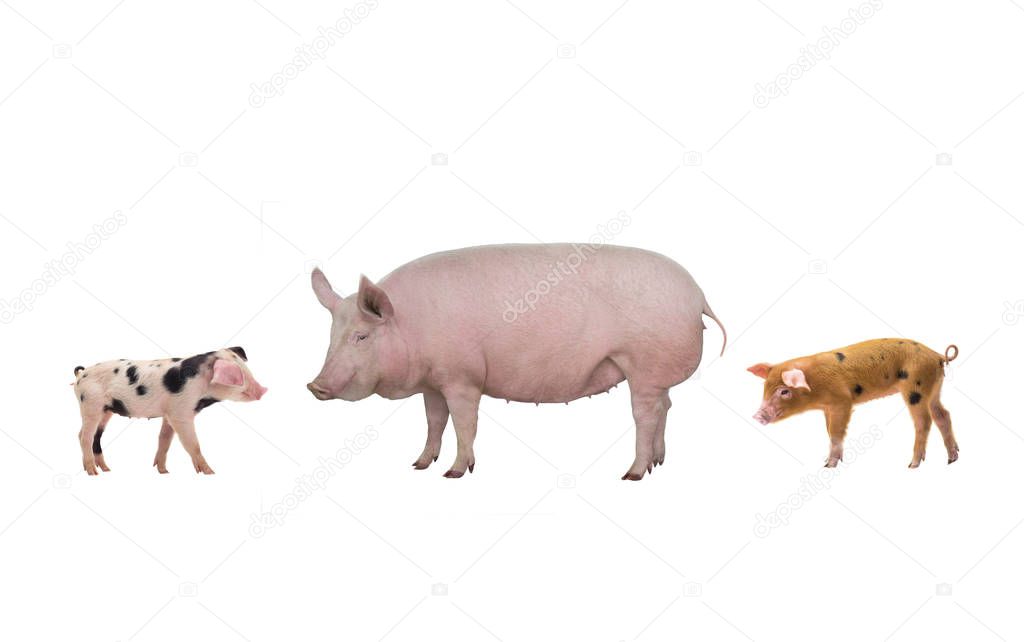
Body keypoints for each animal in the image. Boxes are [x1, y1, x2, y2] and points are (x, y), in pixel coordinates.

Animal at [72, 347, 267, 475]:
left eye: (247, 370)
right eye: (237, 378)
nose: (264, 390)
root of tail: (80, 375)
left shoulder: (169, 413)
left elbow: (164, 440)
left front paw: (164, 471)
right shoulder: (181, 412)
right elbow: (192, 444)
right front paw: (210, 472)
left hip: (105, 410)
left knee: (89, 435)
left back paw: (105, 469)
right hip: (91, 404)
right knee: (85, 437)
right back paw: (93, 472)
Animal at [306, 243, 726, 480]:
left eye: (362, 336)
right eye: (331, 335)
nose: (314, 385)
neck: (411, 324)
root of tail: (698, 295)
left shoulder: (463, 378)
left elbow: (464, 424)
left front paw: (454, 473)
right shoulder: (434, 383)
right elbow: (435, 421)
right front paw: (420, 465)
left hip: (644, 366)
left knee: (645, 415)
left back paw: (633, 474)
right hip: (653, 375)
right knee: (665, 406)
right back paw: (658, 463)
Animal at [748, 338, 959, 468]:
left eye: (784, 391)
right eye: (765, 387)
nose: (757, 415)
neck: (814, 384)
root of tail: (938, 356)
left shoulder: (842, 401)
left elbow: (835, 431)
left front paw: (828, 466)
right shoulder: (827, 407)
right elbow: (829, 430)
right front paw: (828, 461)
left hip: (915, 389)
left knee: (924, 421)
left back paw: (912, 464)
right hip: (934, 389)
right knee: (943, 415)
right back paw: (952, 459)